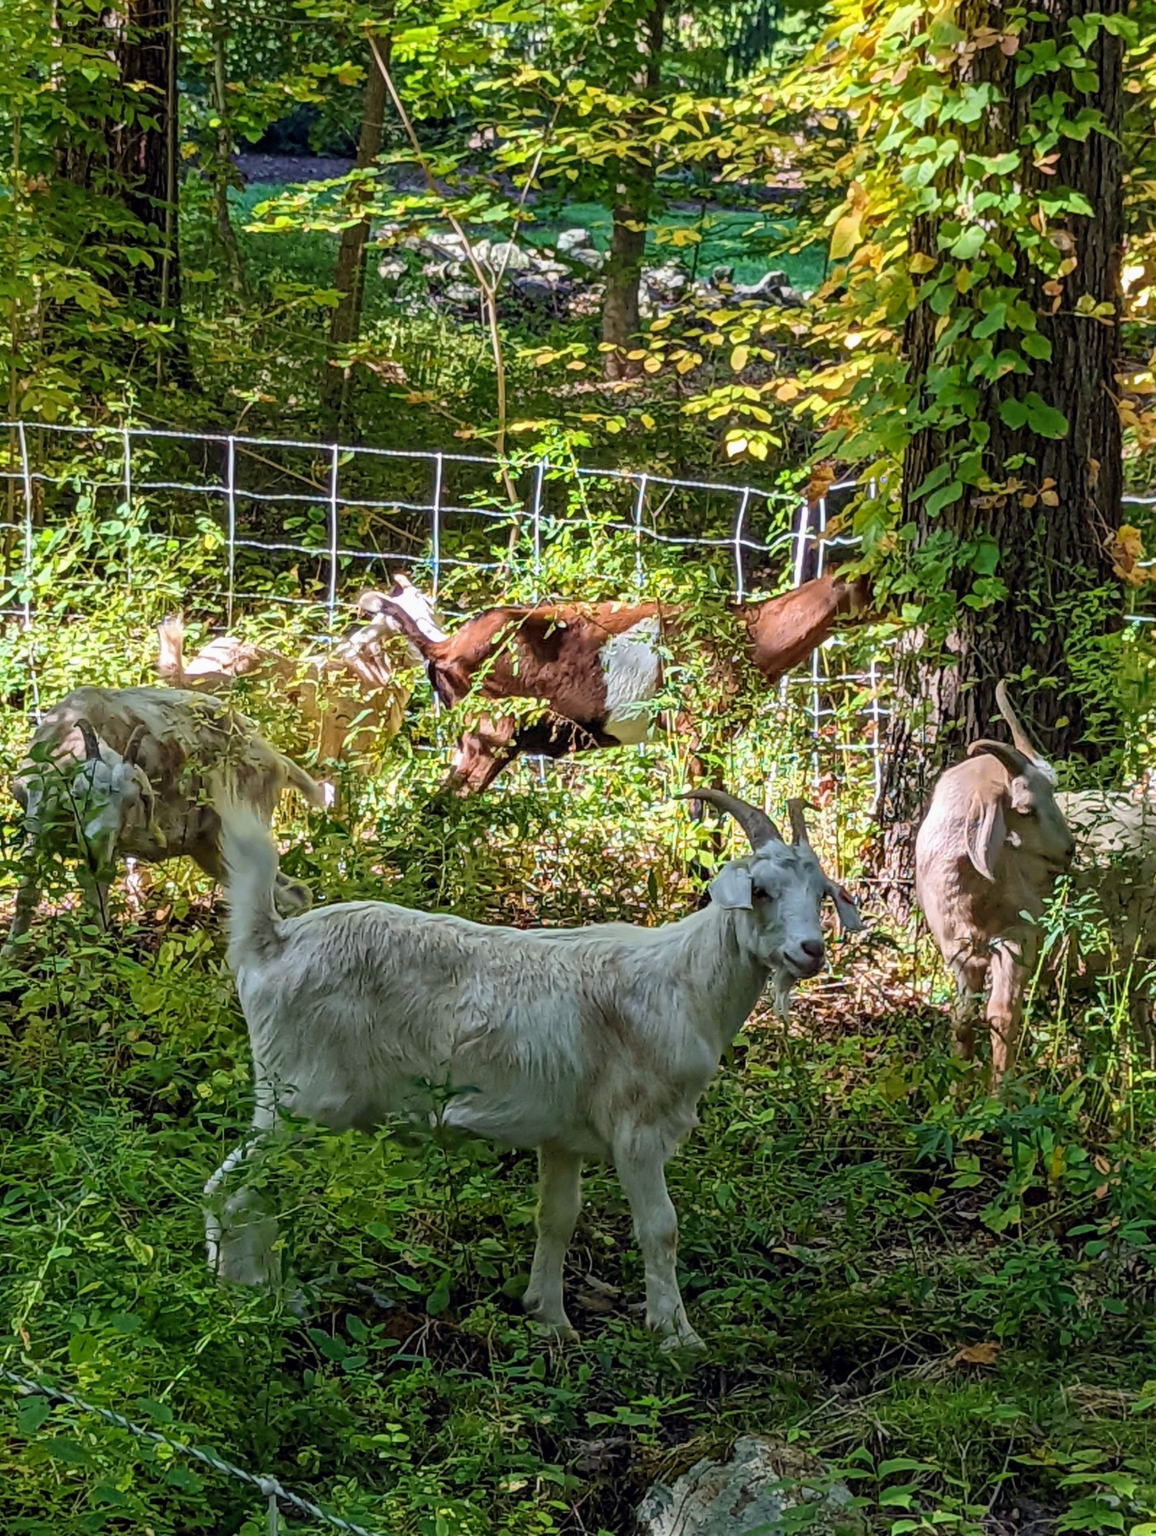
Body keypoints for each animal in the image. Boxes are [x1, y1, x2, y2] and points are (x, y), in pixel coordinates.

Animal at [6, 686, 325, 948]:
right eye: (79, 793)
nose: (96, 849)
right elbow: (27, 898)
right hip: (211, 850)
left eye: (132, 801)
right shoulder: (40, 827)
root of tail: (278, 762)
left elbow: (95, 915)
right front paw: (12, 961)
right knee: (296, 893)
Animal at [206, 787, 863, 1350]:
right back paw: (242, 1299)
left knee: (249, 1191)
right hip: (296, 1101)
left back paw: (264, 1292)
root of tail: (271, 940)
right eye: (761, 890)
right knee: (233, 1191)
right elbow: (660, 1225)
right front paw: (677, 1337)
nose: (810, 951)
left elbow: (557, 1218)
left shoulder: (562, 1135)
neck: (683, 982)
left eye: (820, 894)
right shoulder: (639, 1129)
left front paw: (549, 1317)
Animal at [915, 681, 1075, 1082]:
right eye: (1025, 810)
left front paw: (1000, 1092)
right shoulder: (957, 951)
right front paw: (958, 1089)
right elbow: (963, 1019)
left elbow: (1001, 1016)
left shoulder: (1017, 937)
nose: (1069, 850)